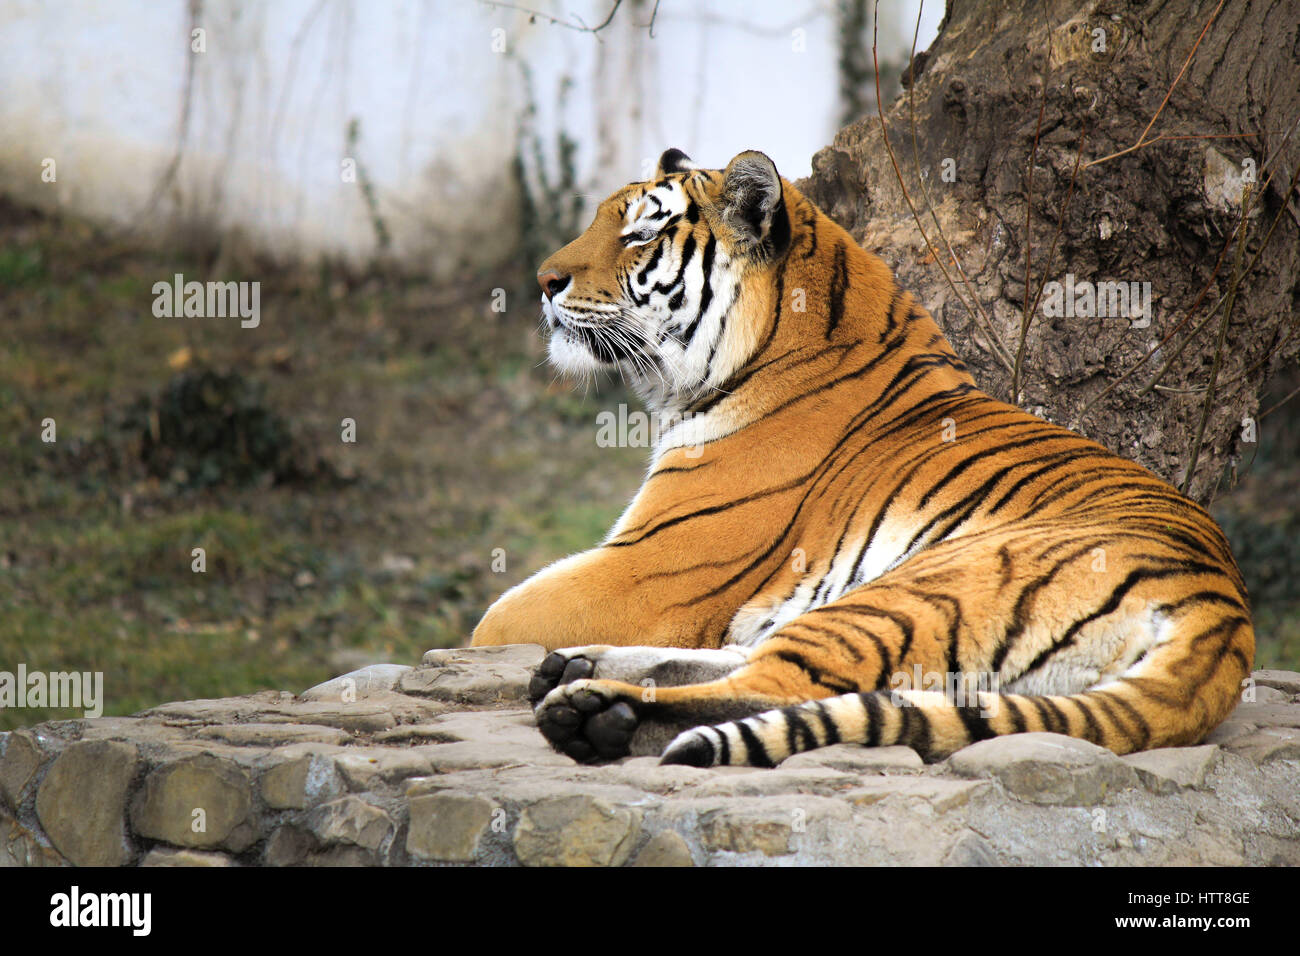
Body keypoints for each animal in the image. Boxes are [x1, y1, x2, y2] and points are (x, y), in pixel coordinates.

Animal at [470, 147, 1255, 769]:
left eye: (640, 232)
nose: (542, 281)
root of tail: (1223, 612)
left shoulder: (647, 567)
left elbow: (493, 622)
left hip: (918, 586)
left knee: (778, 685)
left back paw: (596, 709)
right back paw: (577, 667)